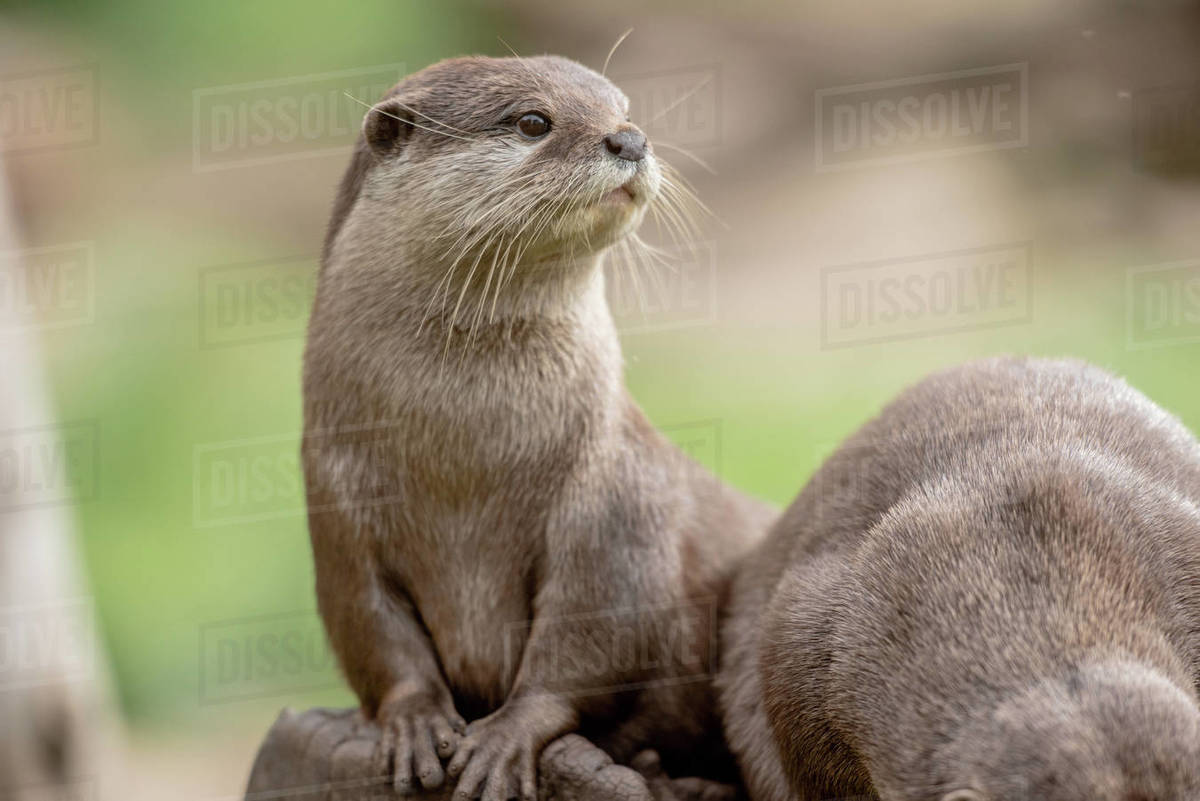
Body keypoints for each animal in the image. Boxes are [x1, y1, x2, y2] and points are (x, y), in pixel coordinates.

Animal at [301, 55, 773, 801]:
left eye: (622, 106)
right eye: (532, 121)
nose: (630, 138)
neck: (464, 461)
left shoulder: (612, 496)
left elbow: (592, 631)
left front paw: (503, 739)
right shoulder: (338, 505)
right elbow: (371, 628)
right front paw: (415, 724)